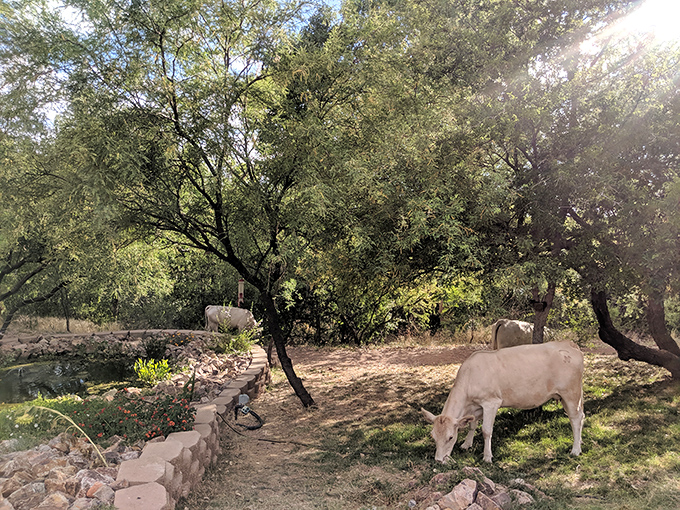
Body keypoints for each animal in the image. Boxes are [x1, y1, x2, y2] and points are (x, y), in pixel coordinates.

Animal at [421, 341, 584, 463]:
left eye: (450, 437)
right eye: (433, 436)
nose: (439, 460)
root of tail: (568, 343)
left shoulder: (491, 403)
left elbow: (486, 430)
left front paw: (487, 457)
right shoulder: (476, 407)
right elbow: (472, 425)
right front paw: (466, 444)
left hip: (571, 393)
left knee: (575, 418)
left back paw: (575, 450)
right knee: (581, 416)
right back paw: (580, 443)